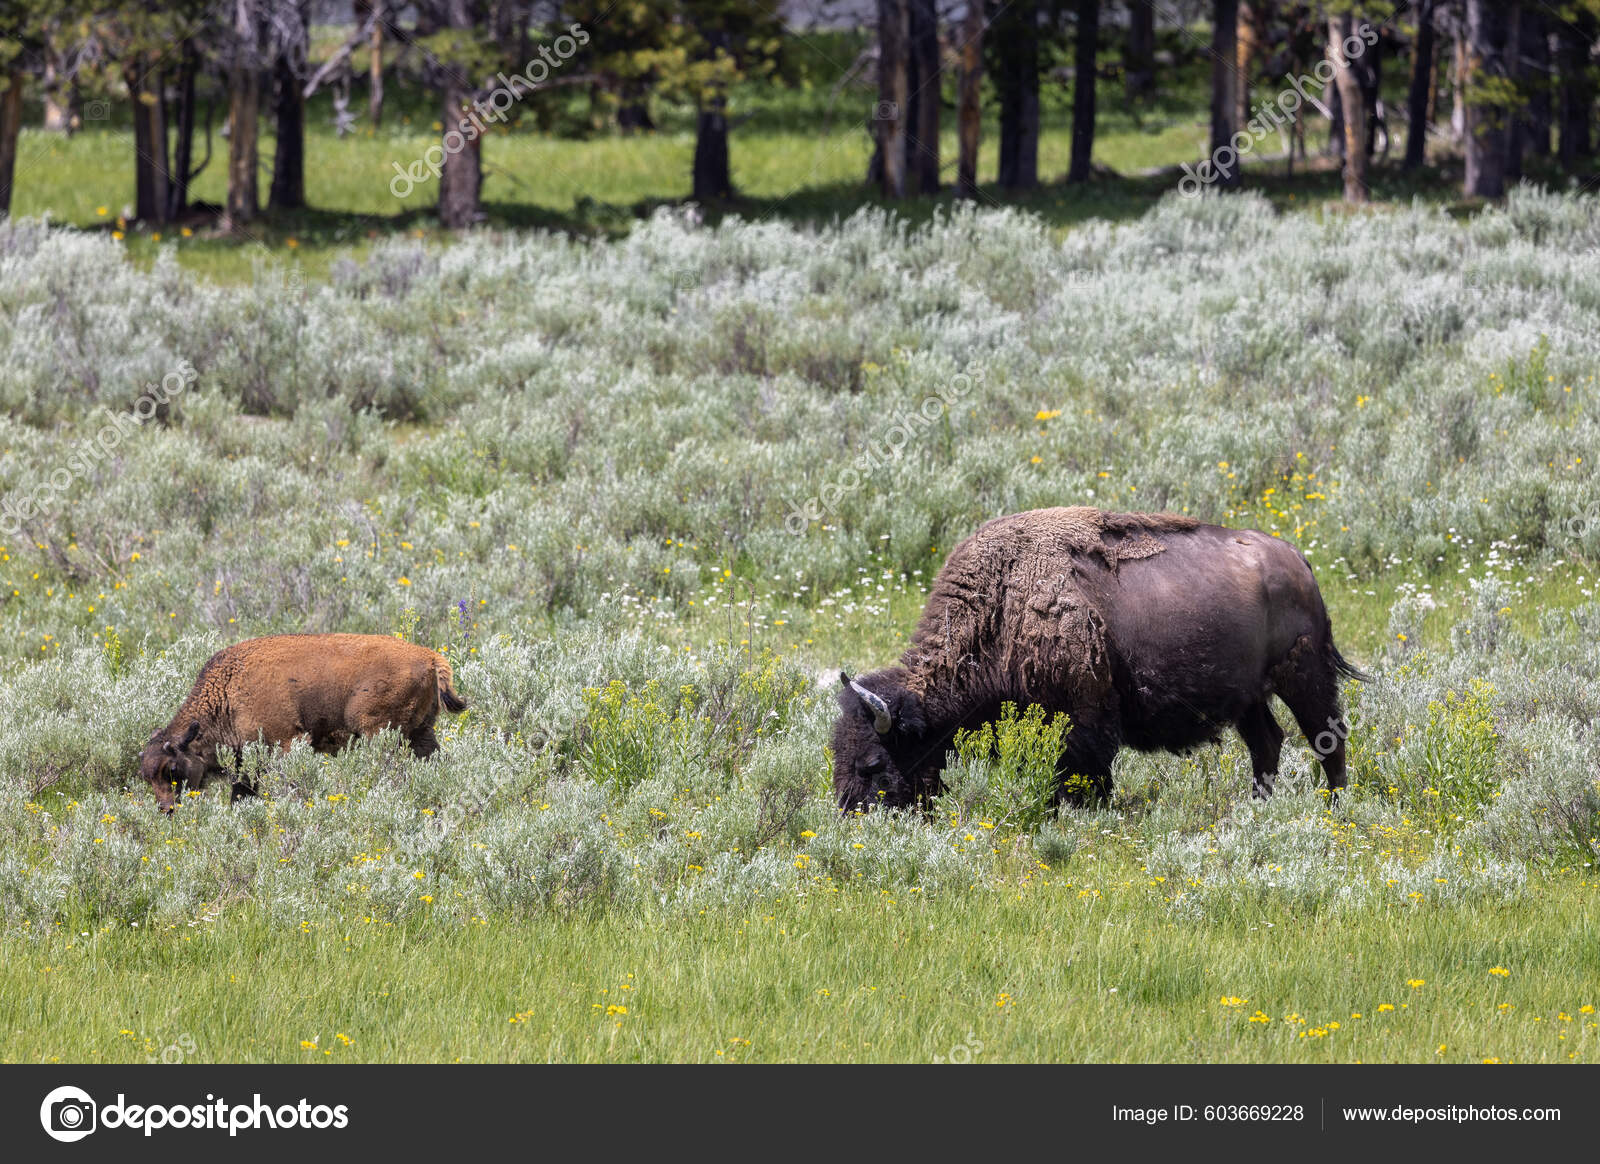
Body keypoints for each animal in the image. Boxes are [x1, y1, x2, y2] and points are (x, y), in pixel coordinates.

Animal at [139, 633, 468, 812]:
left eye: (172, 769)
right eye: (147, 776)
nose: (166, 809)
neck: (229, 692)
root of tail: (431, 658)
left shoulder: (285, 741)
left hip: (382, 734)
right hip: (422, 733)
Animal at [832, 507, 1368, 813]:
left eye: (872, 764)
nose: (852, 816)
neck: (1002, 602)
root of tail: (1298, 561)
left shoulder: (1085, 715)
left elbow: (1084, 769)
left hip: (1304, 676)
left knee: (1327, 737)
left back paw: (1336, 808)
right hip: (1248, 697)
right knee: (1267, 742)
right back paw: (1259, 809)